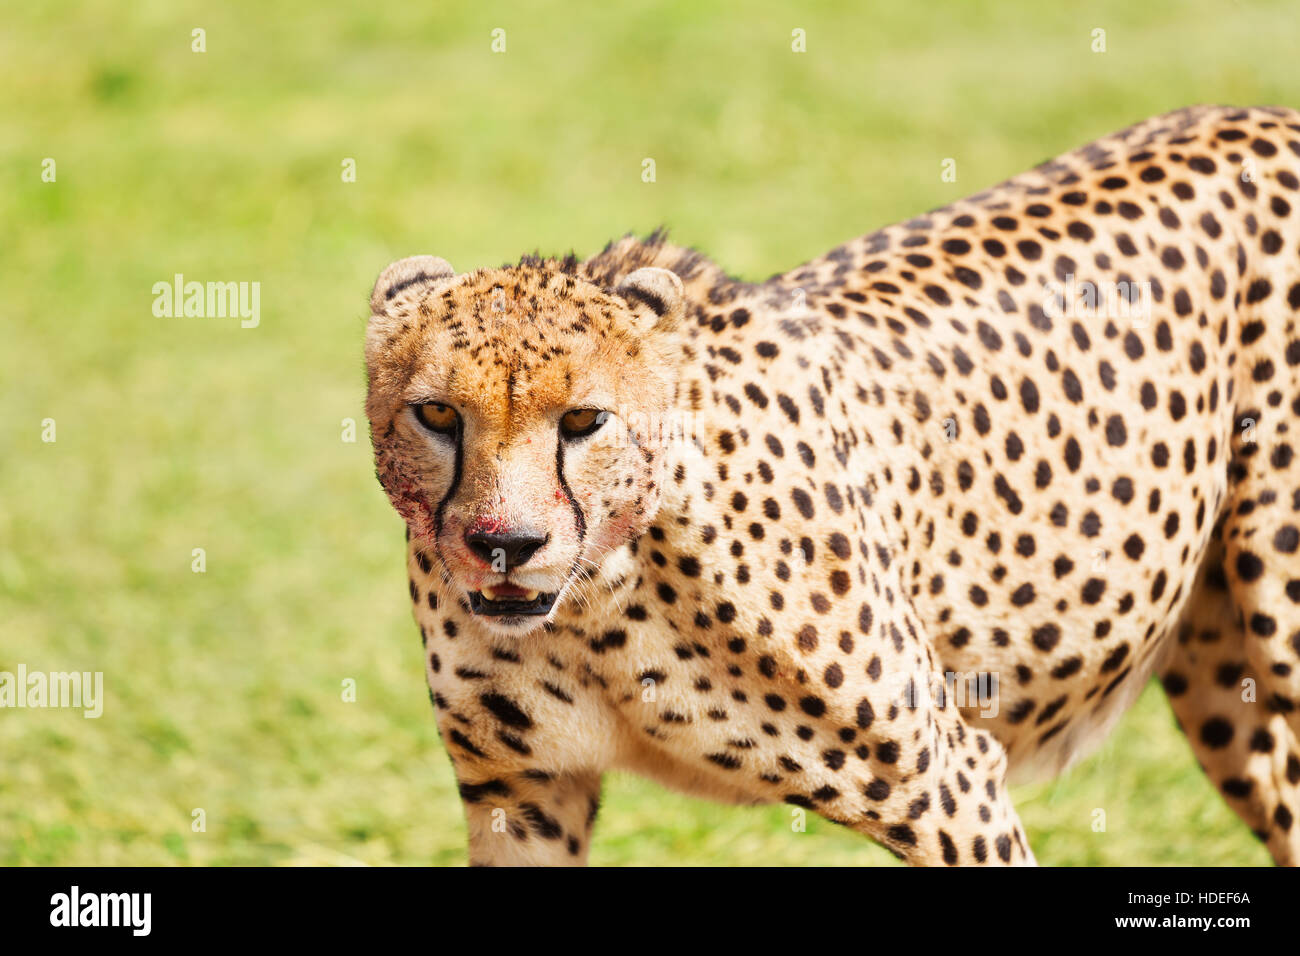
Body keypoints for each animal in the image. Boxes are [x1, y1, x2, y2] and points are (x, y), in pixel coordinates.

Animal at [364, 105, 1300, 865]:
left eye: (585, 421)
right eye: (438, 414)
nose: (505, 546)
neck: (600, 604)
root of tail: (1249, 114)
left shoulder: (949, 781)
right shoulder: (522, 789)